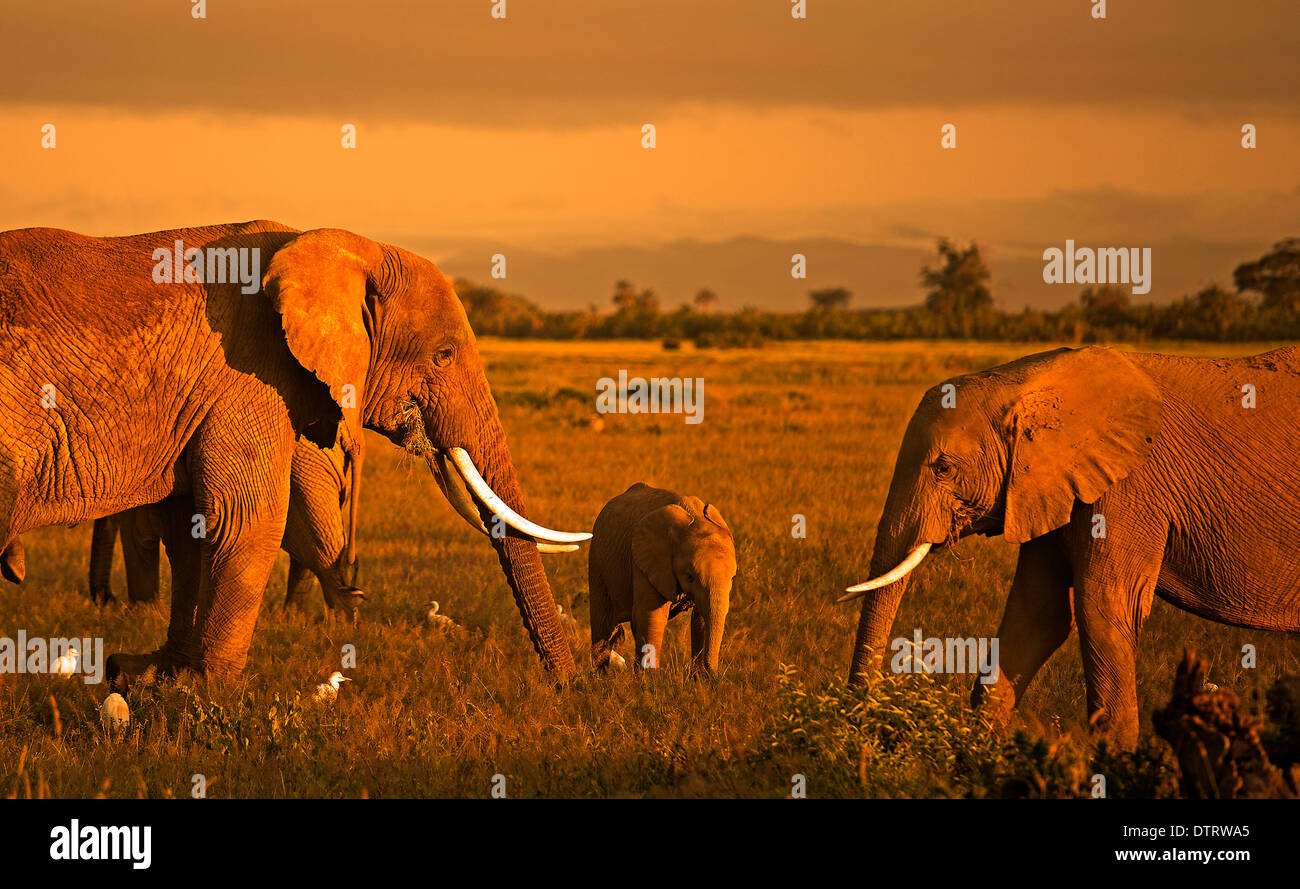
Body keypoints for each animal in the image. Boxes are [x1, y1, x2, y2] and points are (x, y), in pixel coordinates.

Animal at [588, 483, 736, 674]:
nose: (713, 675)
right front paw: (649, 680)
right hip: (598, 562)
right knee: (603, 626)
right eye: (689, 577)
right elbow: (652, 616)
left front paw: (699, 678)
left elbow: (701, 618)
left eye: (732, 578)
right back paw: (601, 678)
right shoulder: (646, 560)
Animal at [841, 345, 1300, 746]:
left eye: (943, 468)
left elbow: (1102, 608)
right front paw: (979, 753)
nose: (866, 725)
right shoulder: (1049, 483)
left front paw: (1115, 764)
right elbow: (1037, 615)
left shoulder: (1127, 488)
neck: (1028, 385)